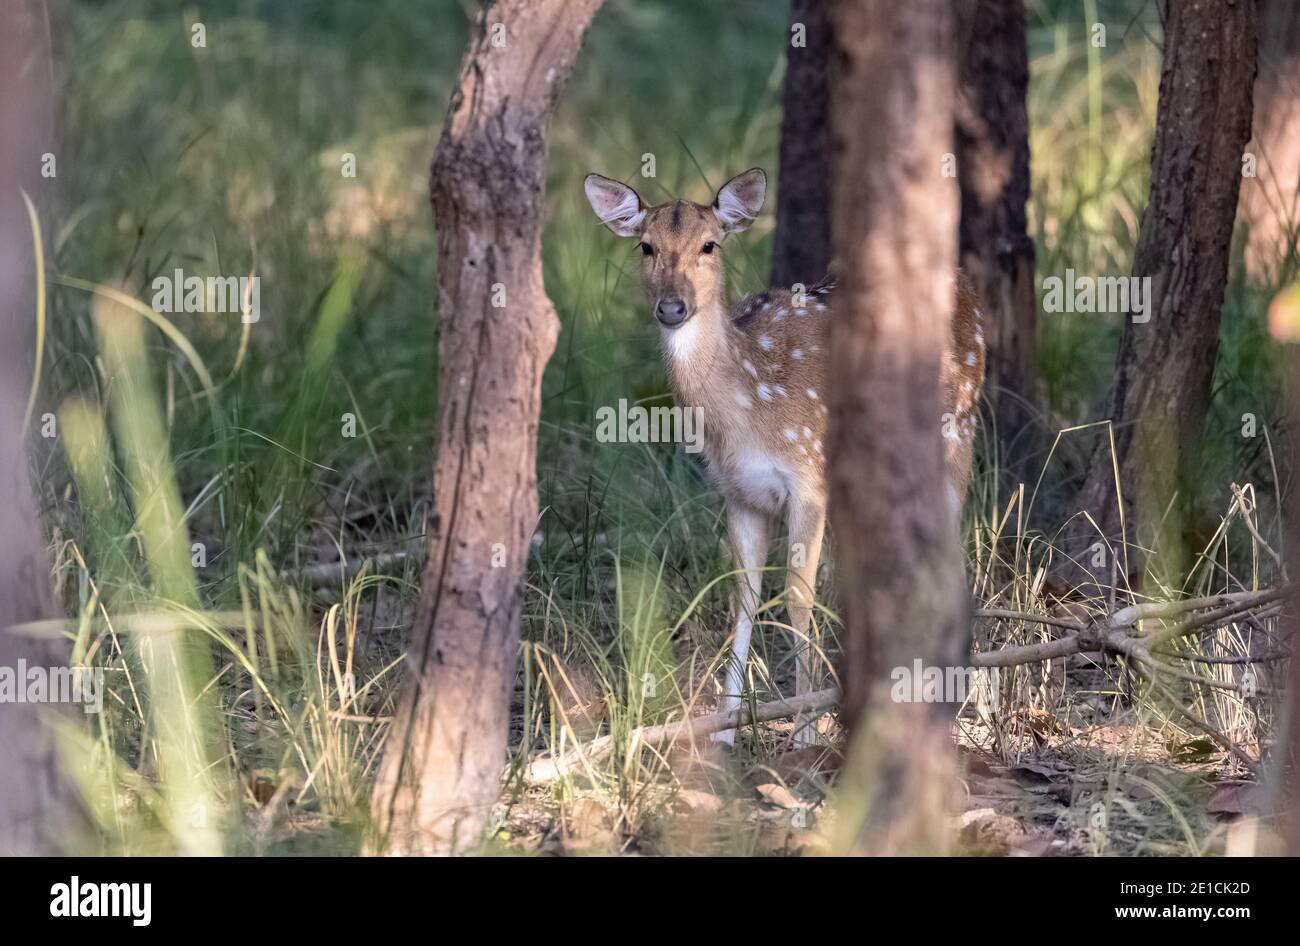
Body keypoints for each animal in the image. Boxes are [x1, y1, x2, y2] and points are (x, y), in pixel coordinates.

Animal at [583, 167, 985, 745]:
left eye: (710, 245)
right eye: (646, 246)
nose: (672, 307)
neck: (750, 411)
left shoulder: (808, 477)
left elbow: (797, 596)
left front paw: (803, 730)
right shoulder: (739, 494)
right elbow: (743, 598)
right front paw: (726, 730)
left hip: (960, 430)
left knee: (954, 548)